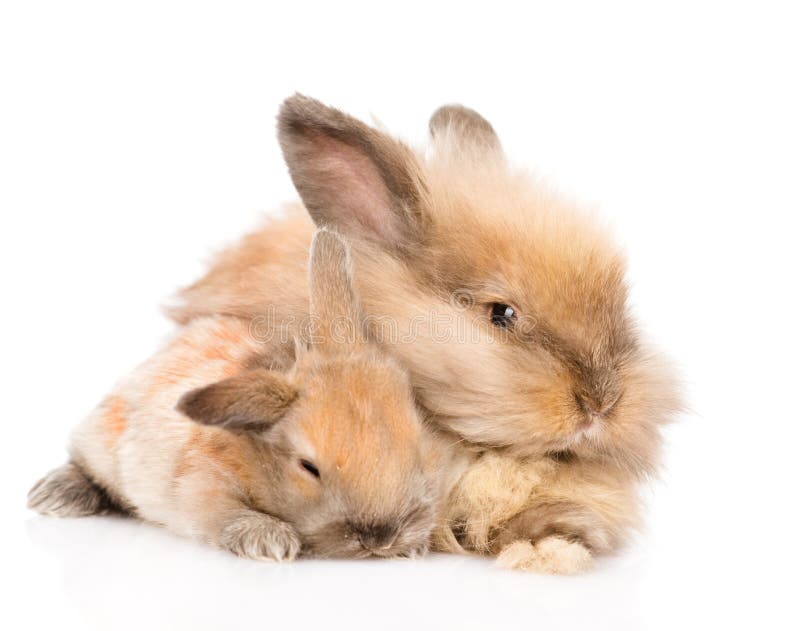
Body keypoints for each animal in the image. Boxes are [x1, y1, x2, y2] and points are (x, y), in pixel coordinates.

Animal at [28, 229, 451, 561]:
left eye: (417, 447)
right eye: (308, 467)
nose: (382, 538)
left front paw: (414, 548)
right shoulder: (202, 484)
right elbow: (222, 514)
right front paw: (271, 542)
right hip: (100, 440)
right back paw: (54, 496)